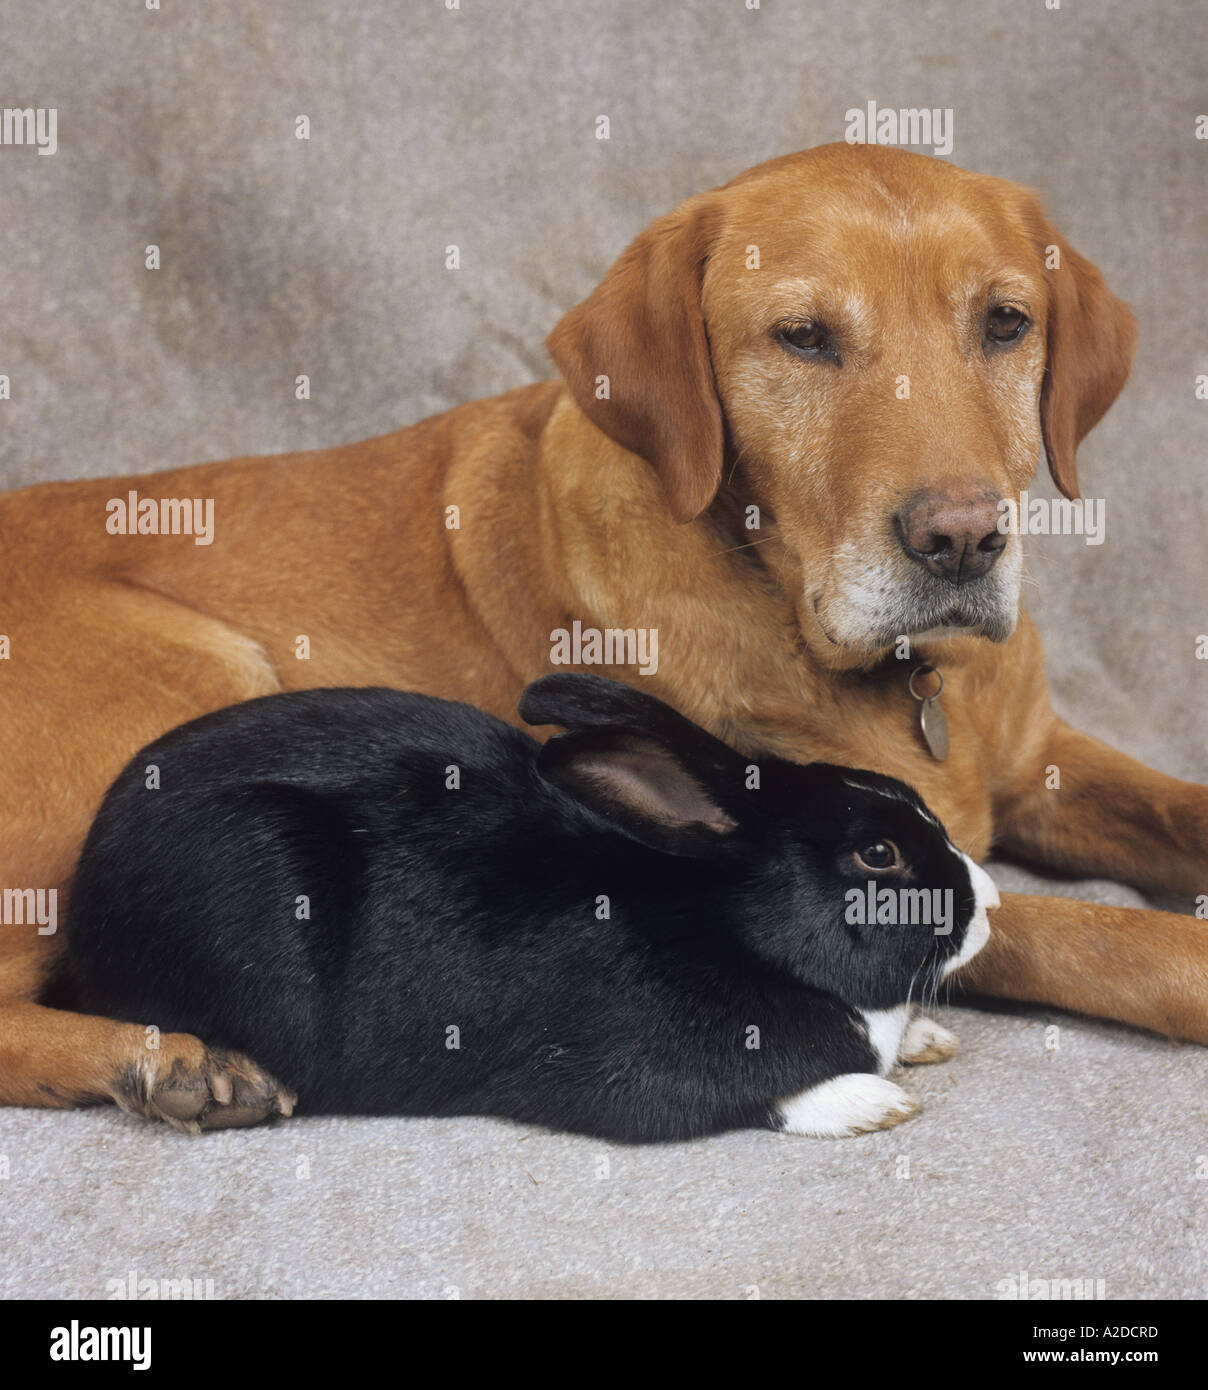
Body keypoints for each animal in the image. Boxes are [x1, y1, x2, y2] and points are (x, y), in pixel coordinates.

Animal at [64, 672, 998, 1141]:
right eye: (877, 856)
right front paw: (873, 1102)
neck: (733, 925)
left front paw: (926, 1040)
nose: (988, 903)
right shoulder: (626, 1074)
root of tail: (85, 897)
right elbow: (757, 1093)